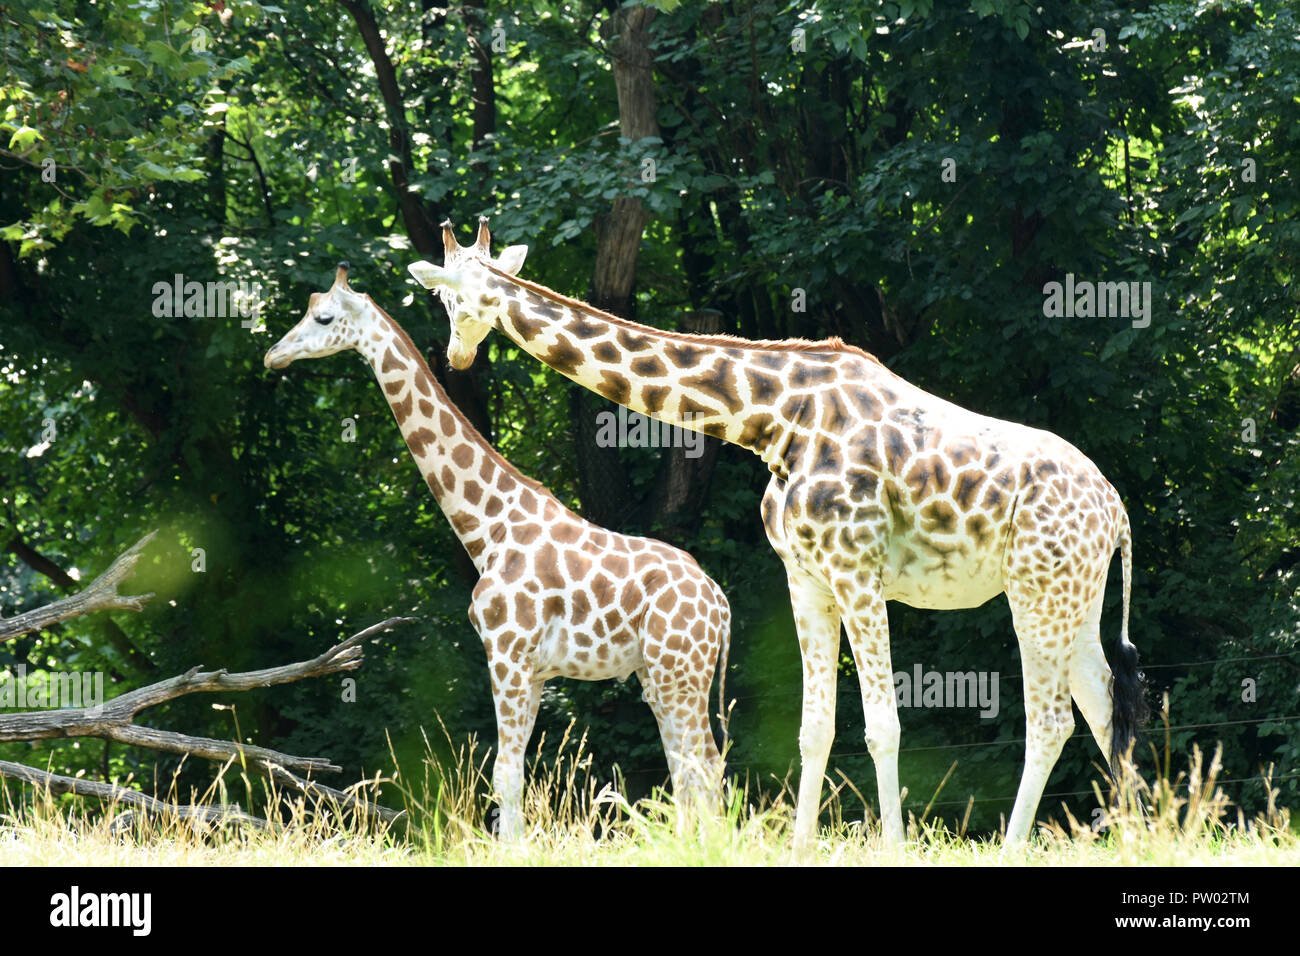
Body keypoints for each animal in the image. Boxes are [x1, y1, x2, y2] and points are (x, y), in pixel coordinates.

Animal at [263, 259, 731, 839]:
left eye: (324, 317)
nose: (273, 354)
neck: (488, 528)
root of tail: (720, 605)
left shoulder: (506, 654)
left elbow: (506, 773)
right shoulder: (530, 670)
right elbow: (513, 772)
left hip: (678, 670)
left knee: (703, 763)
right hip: (660, 672)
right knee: (688, 764)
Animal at [409, 219, 1149, 850]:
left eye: (454, 297)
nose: (457, 355)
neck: (772, 419)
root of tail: (1116, 512)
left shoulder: (858, 570)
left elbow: (882, 724)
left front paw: (893, 848)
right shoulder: (807, 578)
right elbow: (814, 728)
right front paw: (801, 847)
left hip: (1036, 591)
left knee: (1051, 719)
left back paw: (1020, 847)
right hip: (1072, 595)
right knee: (1104, 700)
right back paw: (1139, 838)